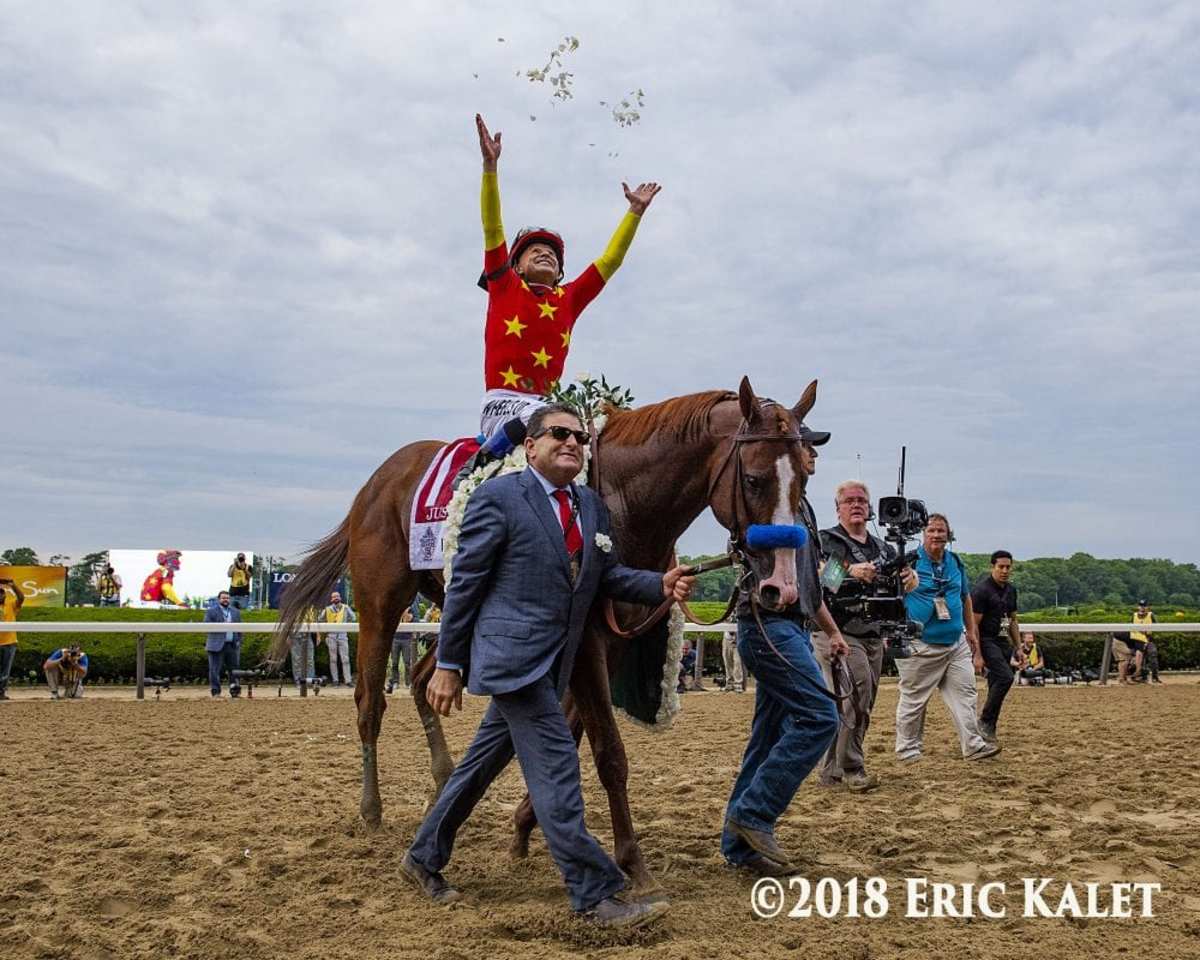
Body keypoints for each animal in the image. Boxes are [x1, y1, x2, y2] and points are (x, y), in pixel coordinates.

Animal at [273, 375, 818, 893]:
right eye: (754, 479)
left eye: (805, 478)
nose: (781, 586)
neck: (623, 499)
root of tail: (375, 483)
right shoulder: (588, 641)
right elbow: (607, 751)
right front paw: (632, 863)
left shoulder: (610, 642)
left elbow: (570, 731)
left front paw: (522, 826)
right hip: (380, 603)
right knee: (370, 700)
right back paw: (372, 809)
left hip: (453, 604)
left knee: (428, 681)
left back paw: (443, 783)